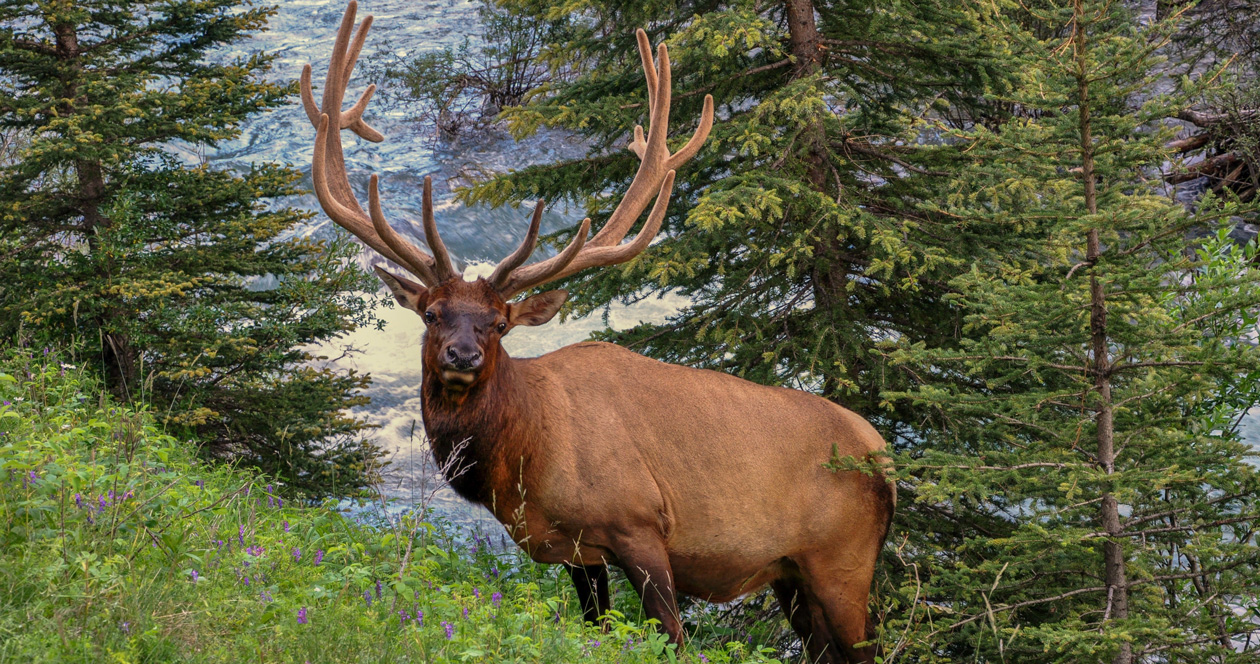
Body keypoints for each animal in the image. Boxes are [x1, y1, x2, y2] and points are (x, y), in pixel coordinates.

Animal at [302, 4, 894, 662]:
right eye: (432, 314)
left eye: (499, 324)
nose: (462, 354)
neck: (525, 458)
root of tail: (886, 459)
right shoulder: (578, 554)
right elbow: (599, 630)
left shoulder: (640, 525)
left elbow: (672, 638)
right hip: (792, 577)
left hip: (843, 562)